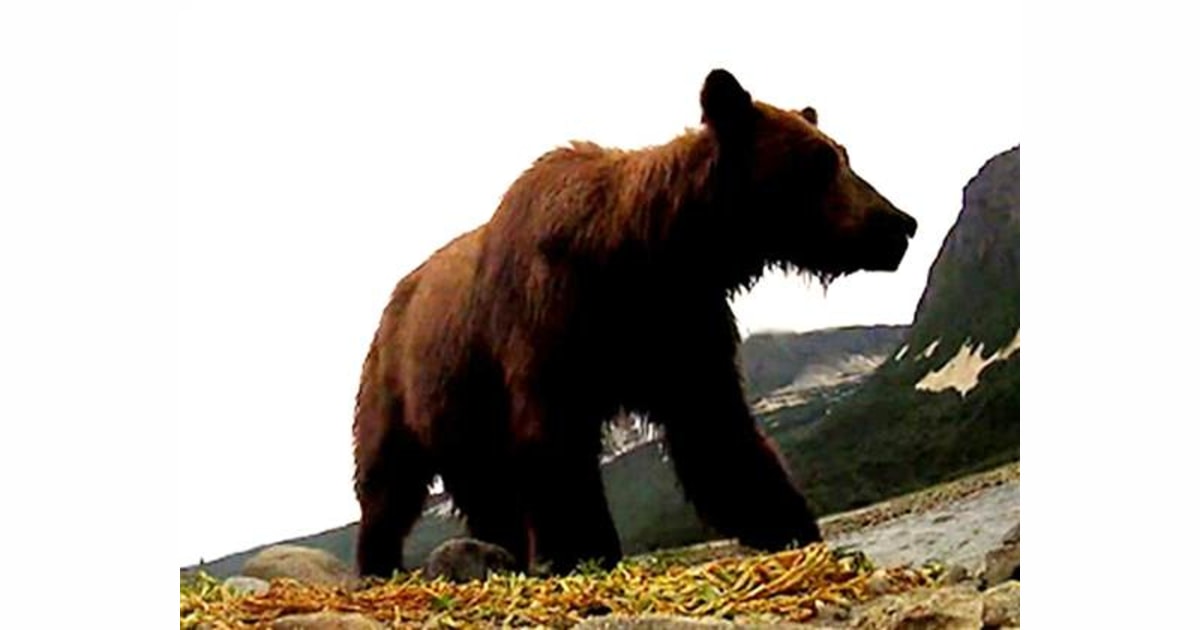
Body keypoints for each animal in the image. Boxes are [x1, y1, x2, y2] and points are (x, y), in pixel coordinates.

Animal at [352, 69, 918, 578]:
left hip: (462, 406)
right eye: (820, 162)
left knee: (483, 485)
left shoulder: (674, 323)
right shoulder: (552, 321)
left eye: (842, 154)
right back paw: (380, 563)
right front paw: (583, 549)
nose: (901, 224)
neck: (640, 255)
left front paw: (790, 525)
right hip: (399, 383)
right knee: (387, 481)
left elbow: (716, 428)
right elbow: (557, 442)